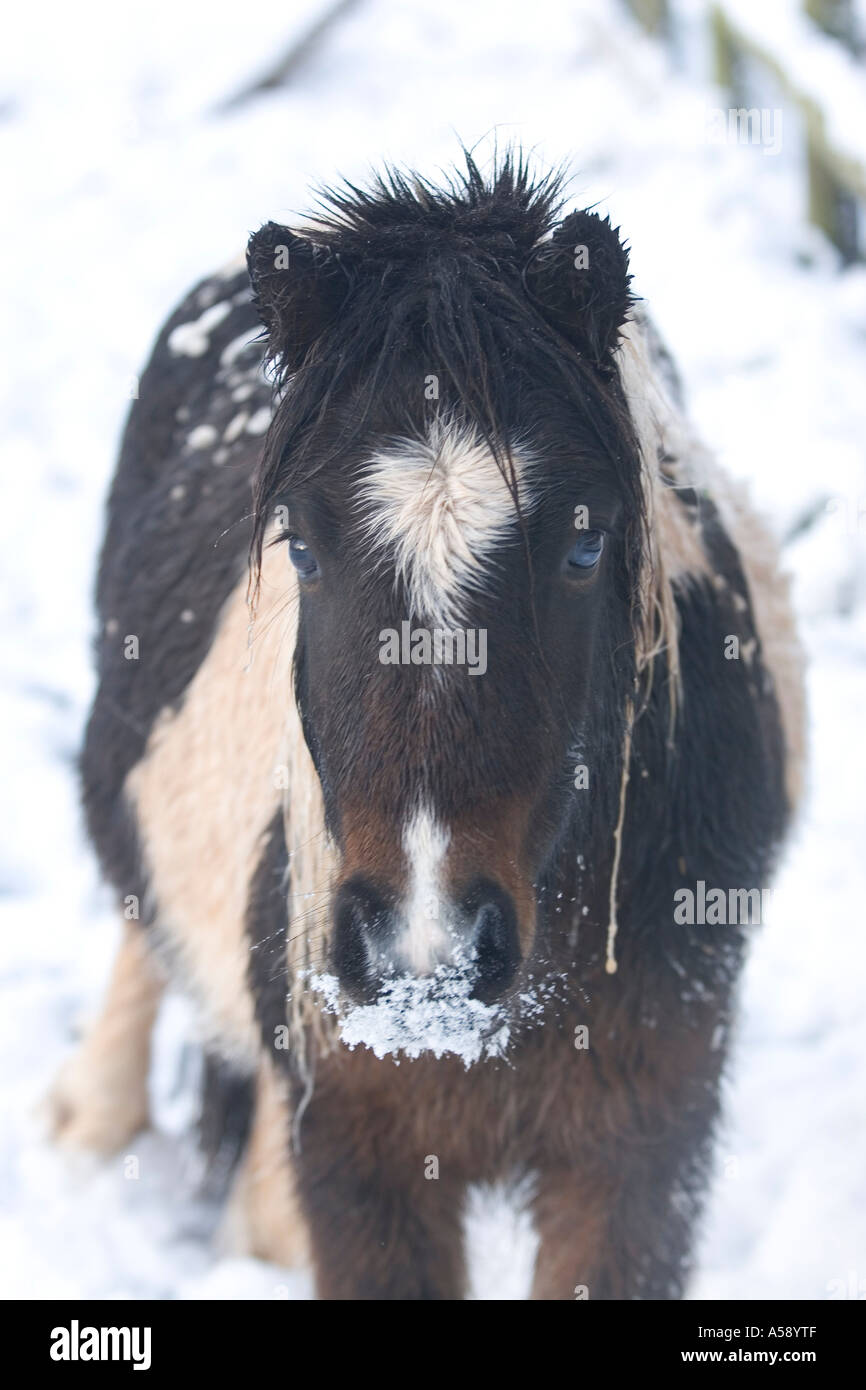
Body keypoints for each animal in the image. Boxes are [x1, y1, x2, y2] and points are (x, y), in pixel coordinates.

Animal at [50, 154, 805, 1299]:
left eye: (584, 547)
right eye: (301, 547)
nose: (424, 955)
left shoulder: (637, 1155)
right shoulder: (367, 1160)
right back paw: (91, 1120)